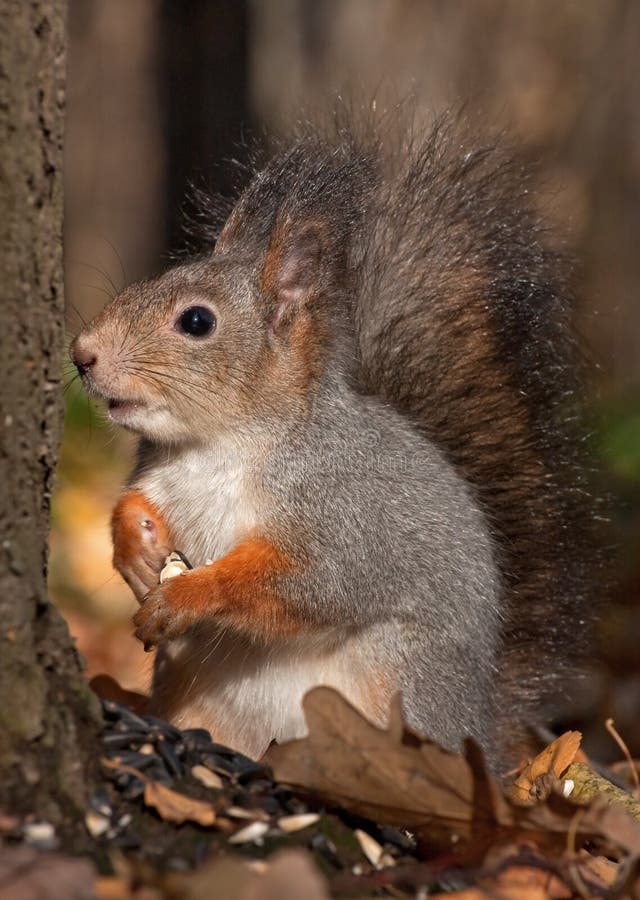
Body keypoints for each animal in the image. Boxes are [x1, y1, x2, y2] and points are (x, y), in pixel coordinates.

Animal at [71, 114, 599, 766]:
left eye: (196, 321)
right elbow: (132, 503)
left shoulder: (343, 515)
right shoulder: (159, 473)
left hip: (399, 689)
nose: (83, 354)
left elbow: (303, 582)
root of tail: (479, 731)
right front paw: (136, 546)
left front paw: (184, 596)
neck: (216, 446)